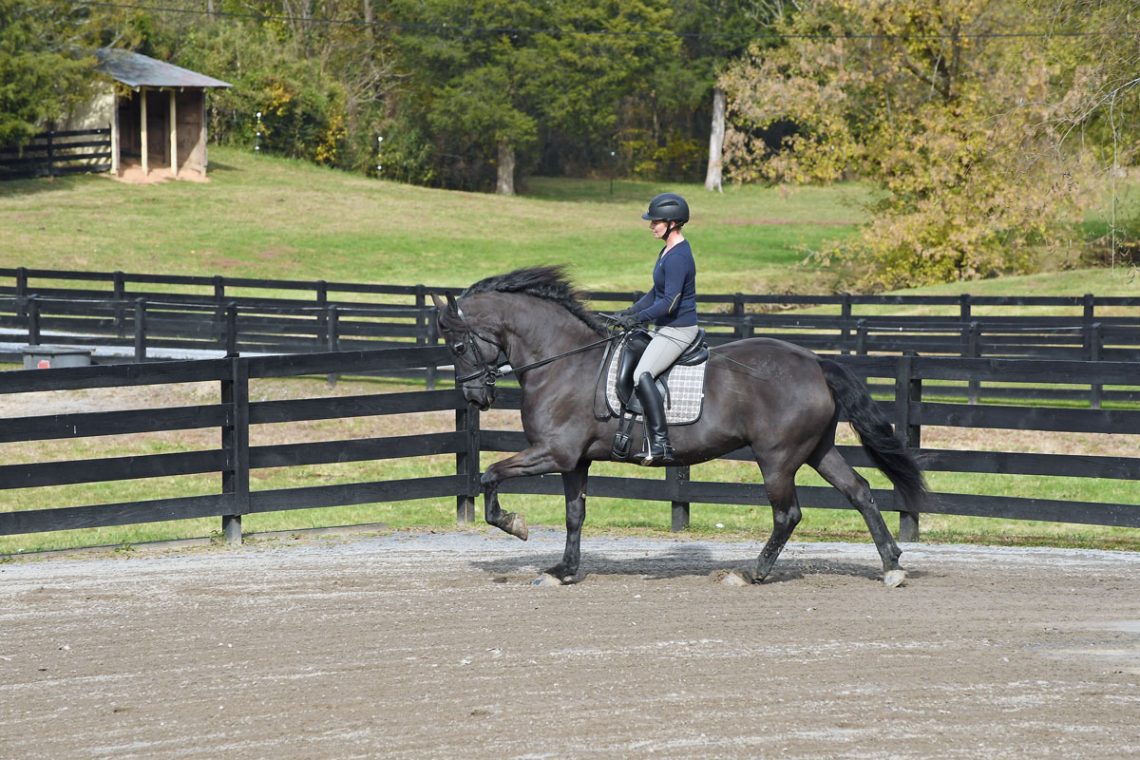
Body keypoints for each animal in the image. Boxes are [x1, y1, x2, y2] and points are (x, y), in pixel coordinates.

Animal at [431, 266, 927, 587]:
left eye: (457, 345)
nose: (475, 398)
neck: (564, 361)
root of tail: (815, 363)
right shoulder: (575, 461)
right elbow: (574, 515)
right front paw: (564, 572)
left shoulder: (554, 452)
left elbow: (489, 475)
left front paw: (514, 524)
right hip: (817, 450)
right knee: (860, 491)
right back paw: (892, 565)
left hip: (778, 458)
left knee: (788, 514)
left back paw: (753, 573)